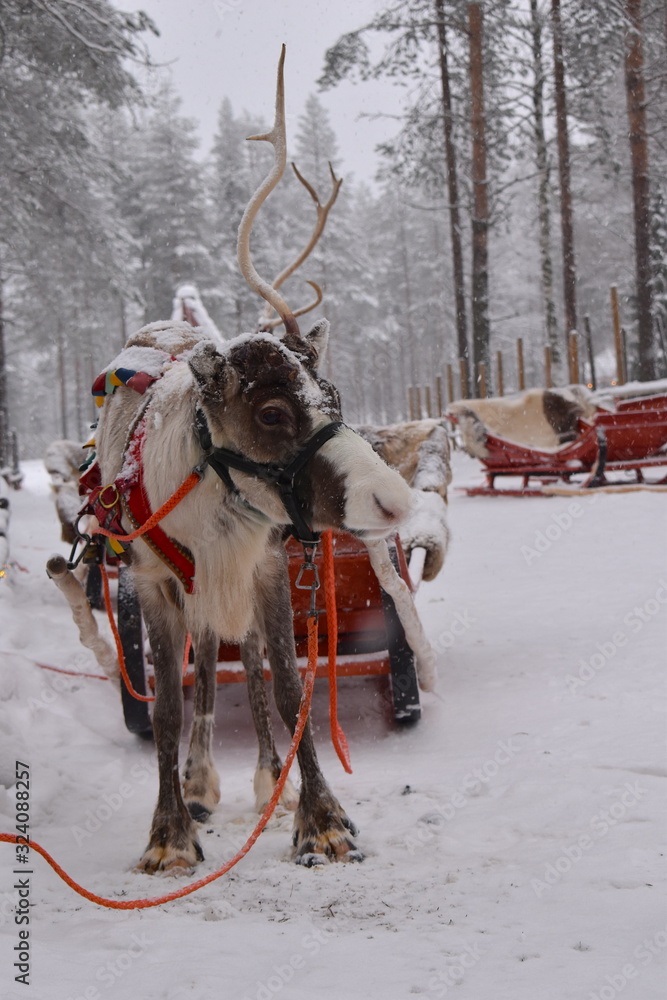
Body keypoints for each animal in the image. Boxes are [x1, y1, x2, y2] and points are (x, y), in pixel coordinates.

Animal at [71, 47, 417, 872]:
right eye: (270, 412)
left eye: (335, 395)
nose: (395, 503)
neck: (210, 511)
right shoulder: (154, 583)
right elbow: (167, 706)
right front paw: (169, 830)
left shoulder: (261, 566)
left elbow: (289, 690)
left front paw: (320, 817)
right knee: (201, 670)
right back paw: (201, 784)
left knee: (248, 665)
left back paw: (266, 780)